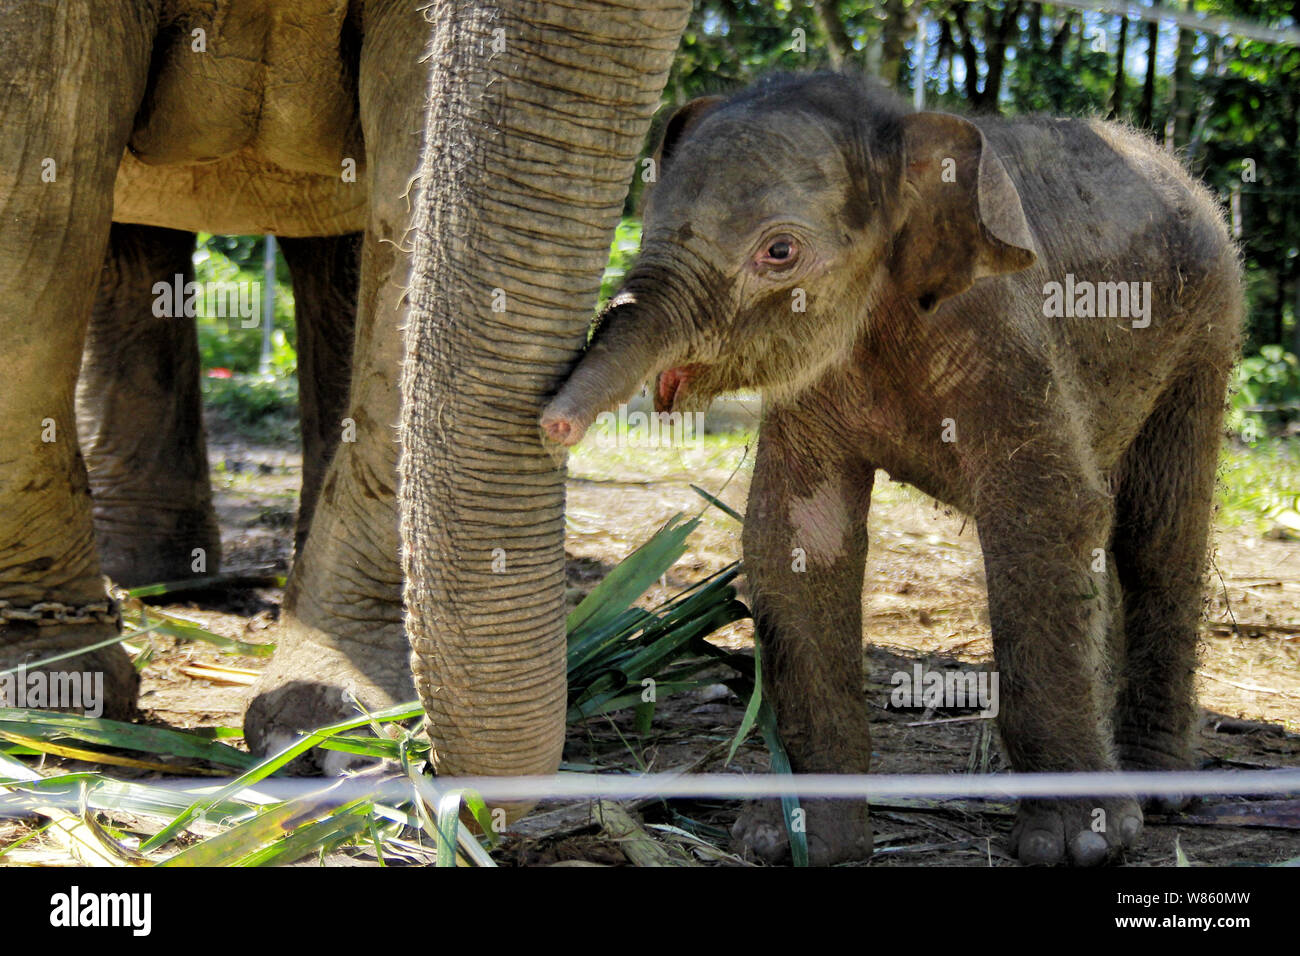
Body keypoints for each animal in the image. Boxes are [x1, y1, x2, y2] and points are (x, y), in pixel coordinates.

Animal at [542, 72, 1244, 865]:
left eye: (779, 251)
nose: (553, 423)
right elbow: (799, 540)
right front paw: (791, 840)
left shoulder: (1003, 334)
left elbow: (1047, 518)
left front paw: (1078, 846)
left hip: (1208, 329)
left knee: (1158, 534)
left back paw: (1159, 792)